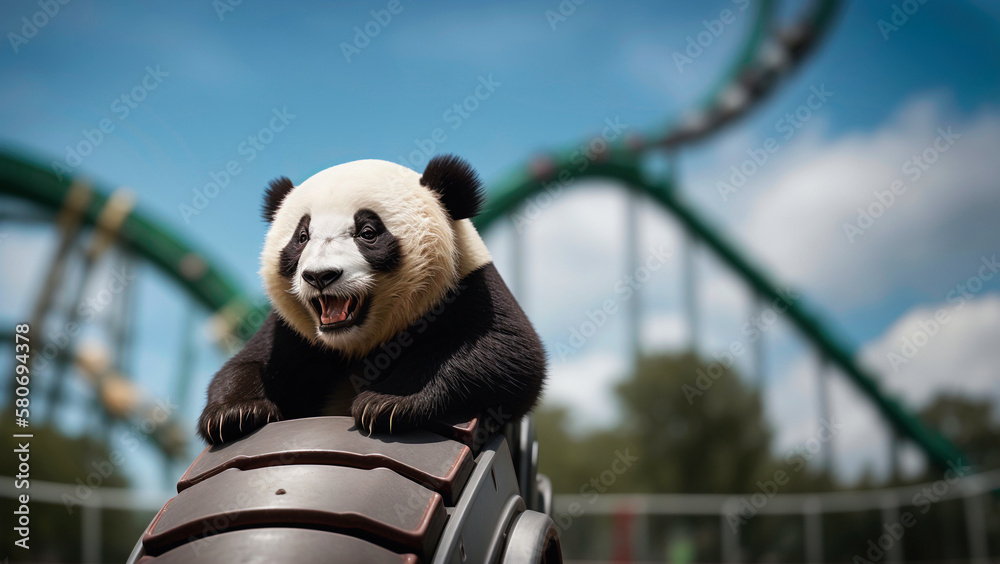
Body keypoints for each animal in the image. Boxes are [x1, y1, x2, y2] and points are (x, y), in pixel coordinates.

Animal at [198, 155, 546, 444]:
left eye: (367, 232)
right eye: (302, 237)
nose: (320, 276)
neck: (357, 342)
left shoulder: (469, 286)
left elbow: (506, 353)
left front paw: (388, 402)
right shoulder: (291, 330)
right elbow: (249, 361)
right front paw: (234, 412)